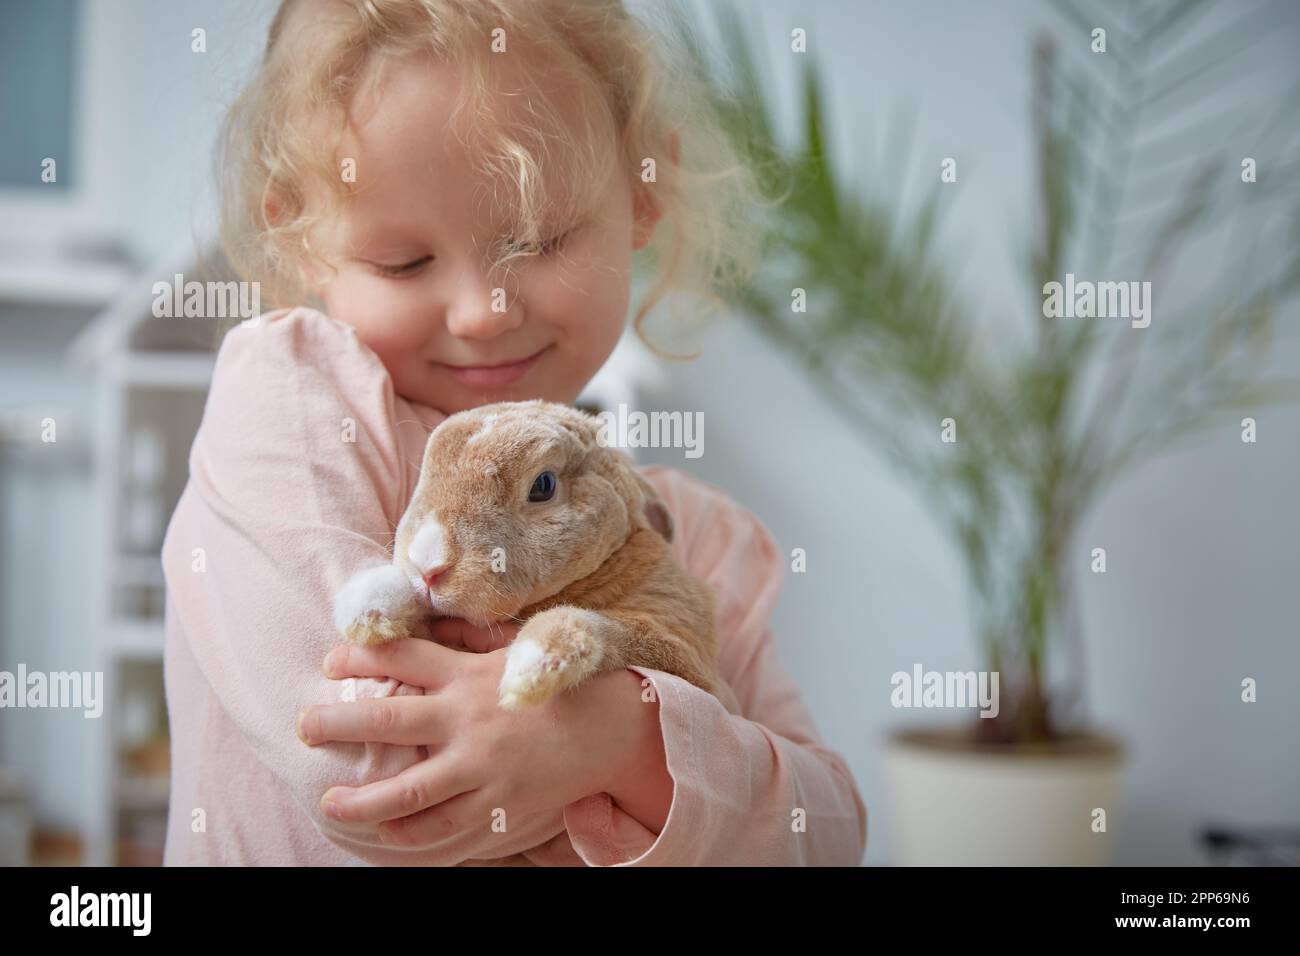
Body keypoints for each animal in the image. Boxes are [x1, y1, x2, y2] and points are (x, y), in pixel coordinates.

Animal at [332, 399, 735, 713]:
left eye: (543, 485)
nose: (427, 567)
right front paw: (366, 608)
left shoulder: (682, 652)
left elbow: (609, 628)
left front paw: (531, 670)